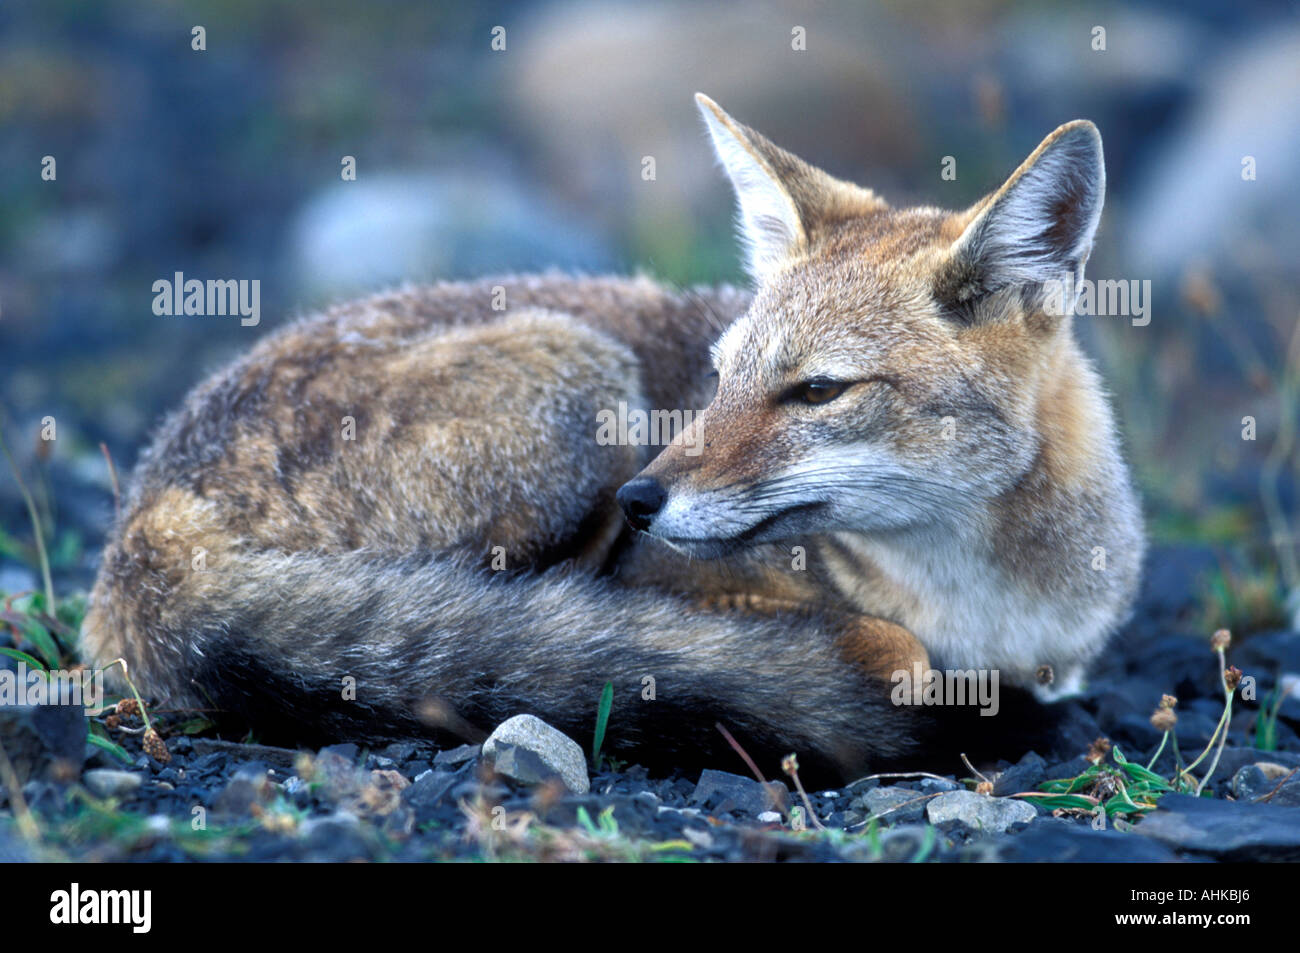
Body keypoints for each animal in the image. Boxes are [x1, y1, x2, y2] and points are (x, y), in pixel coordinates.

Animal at [83, 94, 1143, 781]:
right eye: (720, 376)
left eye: (818, 390)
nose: (642, 500)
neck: (983, 604)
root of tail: (145, 517)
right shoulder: (685, 579)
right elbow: (889, 649)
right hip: (583, 380)